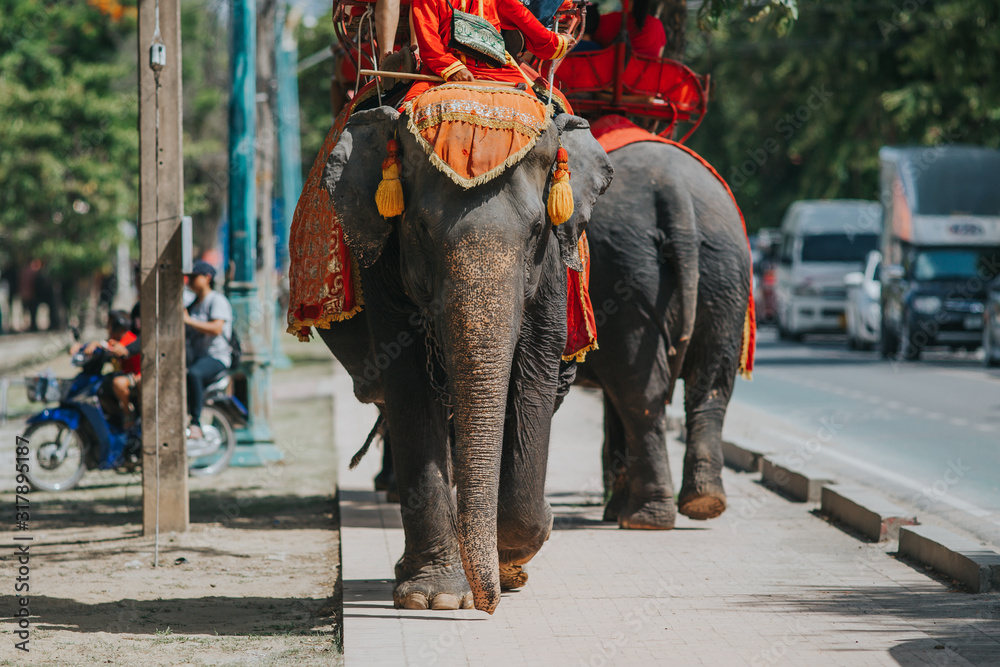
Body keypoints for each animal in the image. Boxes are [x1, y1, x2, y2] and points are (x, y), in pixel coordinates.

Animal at [315, 104, 614, 614]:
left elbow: (534, 369)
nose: (488, 605)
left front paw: (515, 555)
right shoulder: (384, 264)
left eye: (537, 230)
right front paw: (434, 596)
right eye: (420, 229)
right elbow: (408, 381)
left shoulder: (552, 269)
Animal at [574, 140, 752, 530]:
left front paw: (612, 511)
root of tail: (674, 191)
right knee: (711, 383)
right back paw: (702, 503)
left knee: (639, 391)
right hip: (724, 273)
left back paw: (643, 519)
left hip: (621, 276)